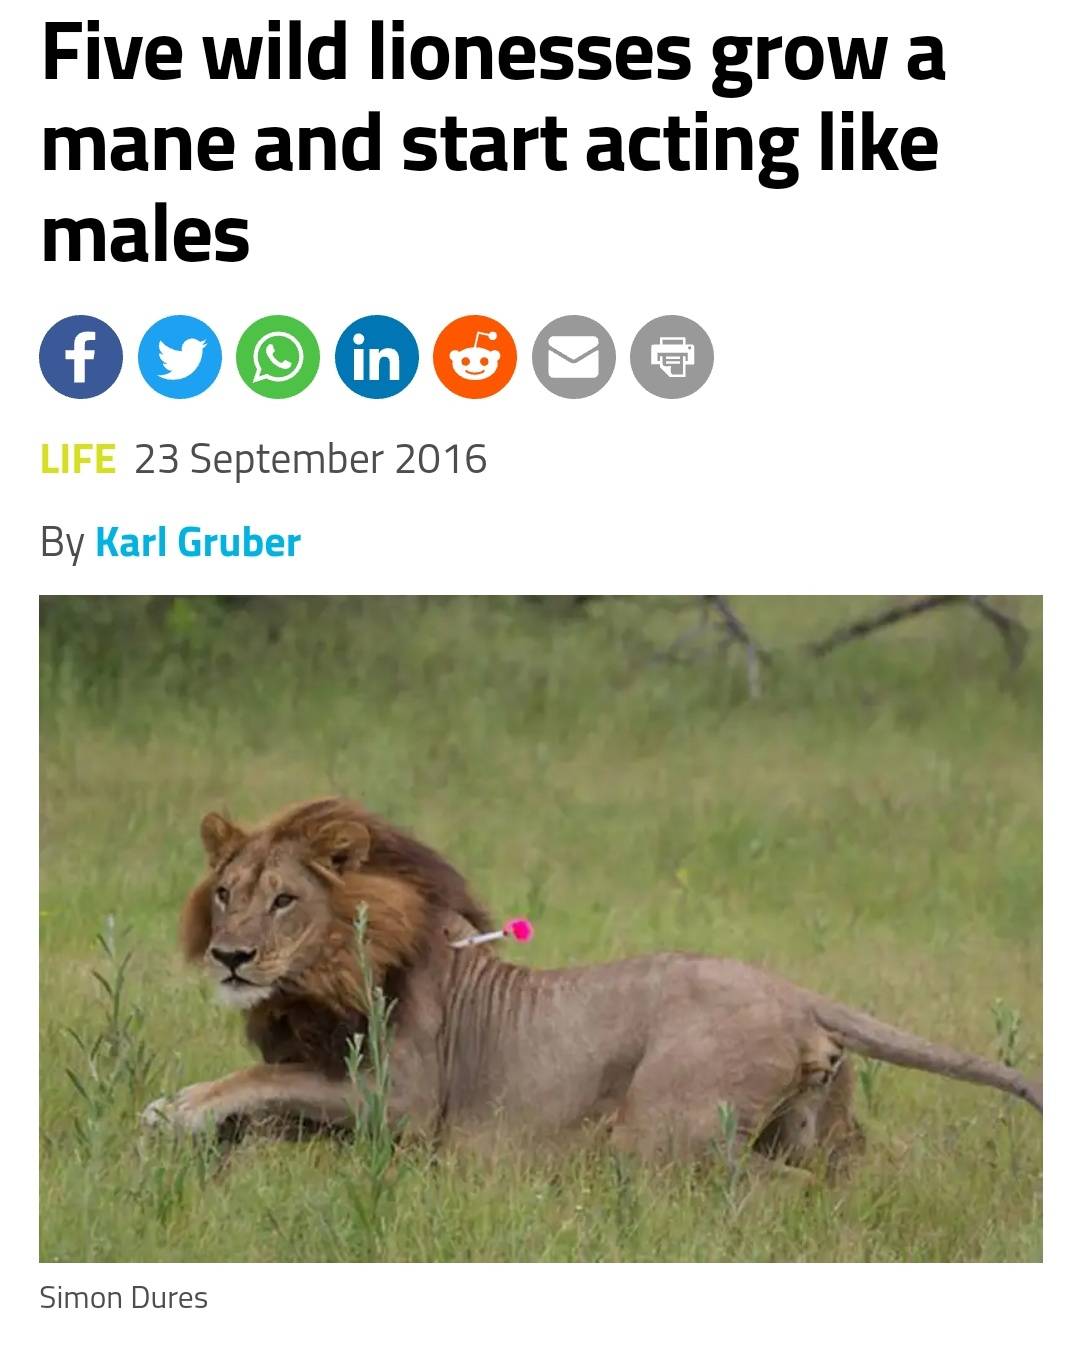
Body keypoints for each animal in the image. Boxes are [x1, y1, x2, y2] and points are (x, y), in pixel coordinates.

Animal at [142, 798, 1042, 1171]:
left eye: (283, 899)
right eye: (226, 892)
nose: (228, 955)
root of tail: (798, 991)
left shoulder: (404, 1101)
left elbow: (260, 1076)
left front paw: (175, 1110)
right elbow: (269, 1106)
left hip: (659, 1136)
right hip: (820, 1131)